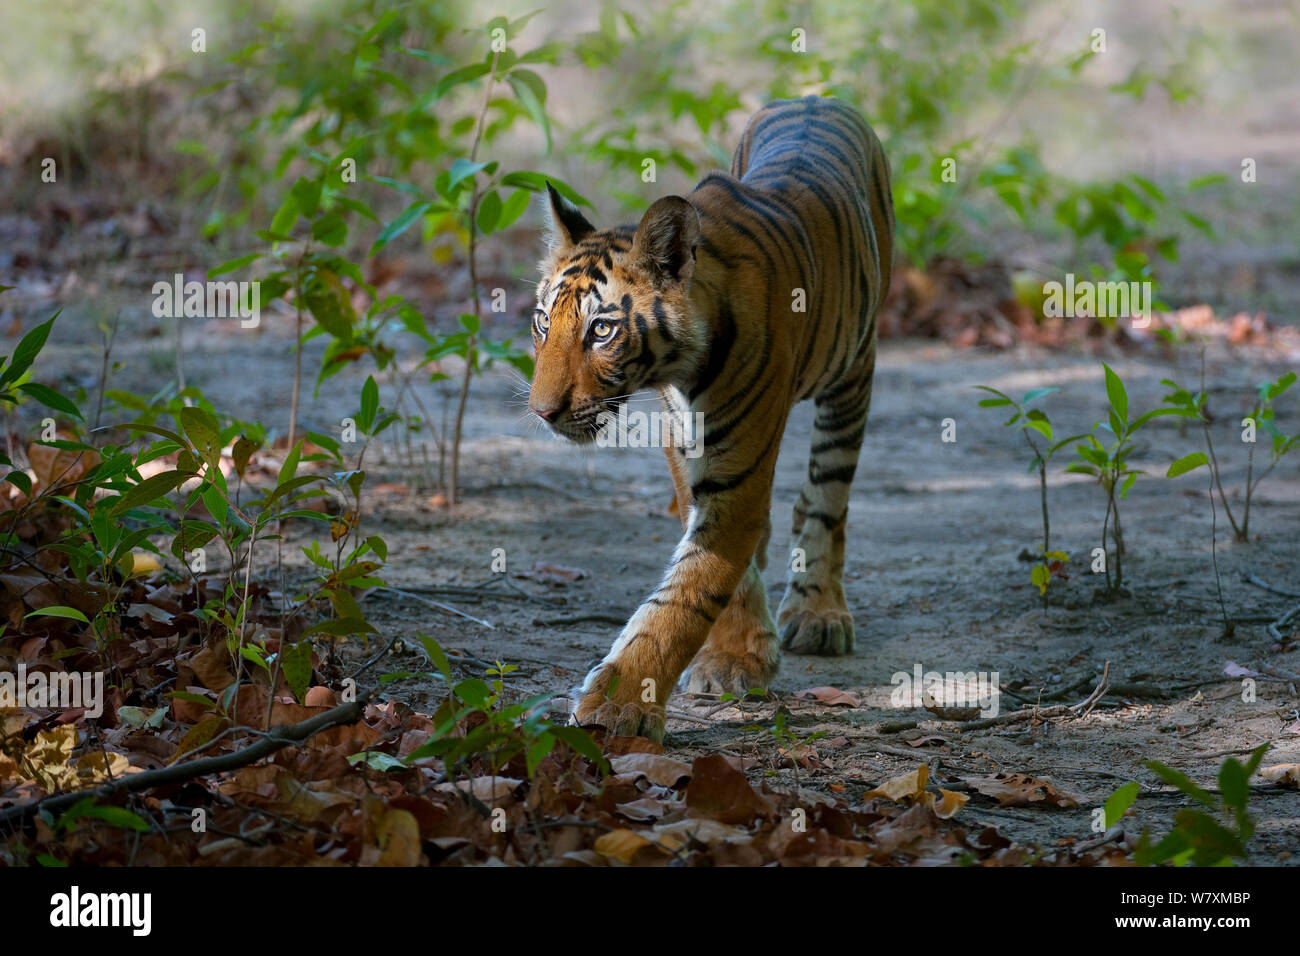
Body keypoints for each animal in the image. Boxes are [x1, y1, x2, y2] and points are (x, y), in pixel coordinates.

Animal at [528, 95, 894, 742]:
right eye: (545, 322)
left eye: (602, 330)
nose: (542, 412)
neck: (679, 372)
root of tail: (816, 96)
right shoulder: (685, 447)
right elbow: (723, 568)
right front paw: (735, 656)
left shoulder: (738, 474)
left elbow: (684, 598)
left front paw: (619, 707)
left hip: (854, 372)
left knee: (828, 496)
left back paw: (819, 611)